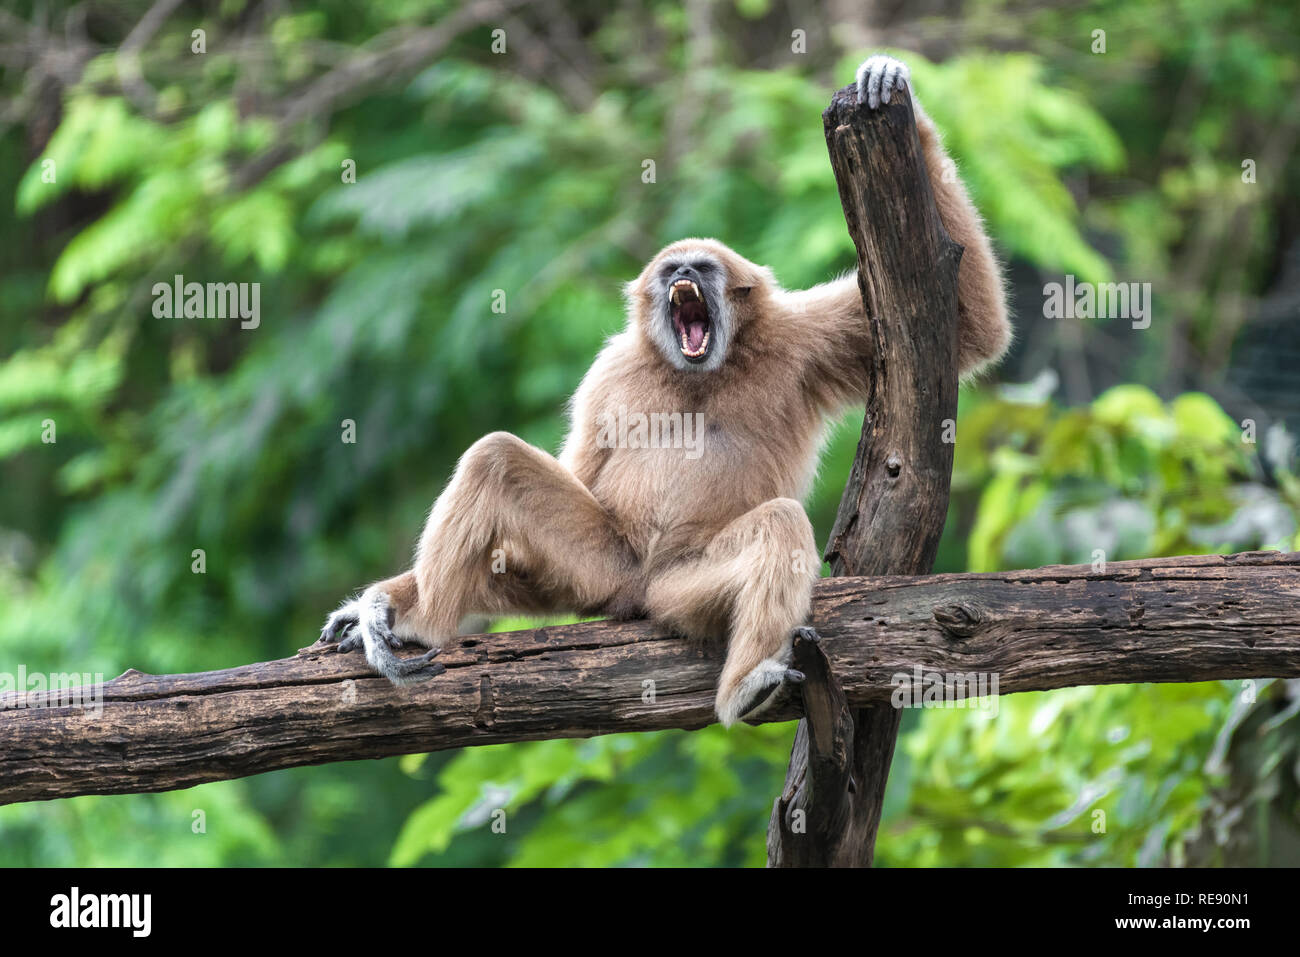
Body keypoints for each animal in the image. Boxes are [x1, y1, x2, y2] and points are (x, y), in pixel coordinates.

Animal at [317, 55, 1011, 726]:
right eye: (671, 271)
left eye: (700, 269)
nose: (682, 275)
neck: (698, 372)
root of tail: (640, 590)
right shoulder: (609, 370)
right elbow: (580, 468)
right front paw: (379, 603)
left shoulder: (800, 338)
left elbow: (971, 327)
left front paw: (896, 90)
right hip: (601, 567)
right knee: (497, 460)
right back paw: (423, 620)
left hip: (681, 587)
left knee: (777, 525)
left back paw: (745, 687)